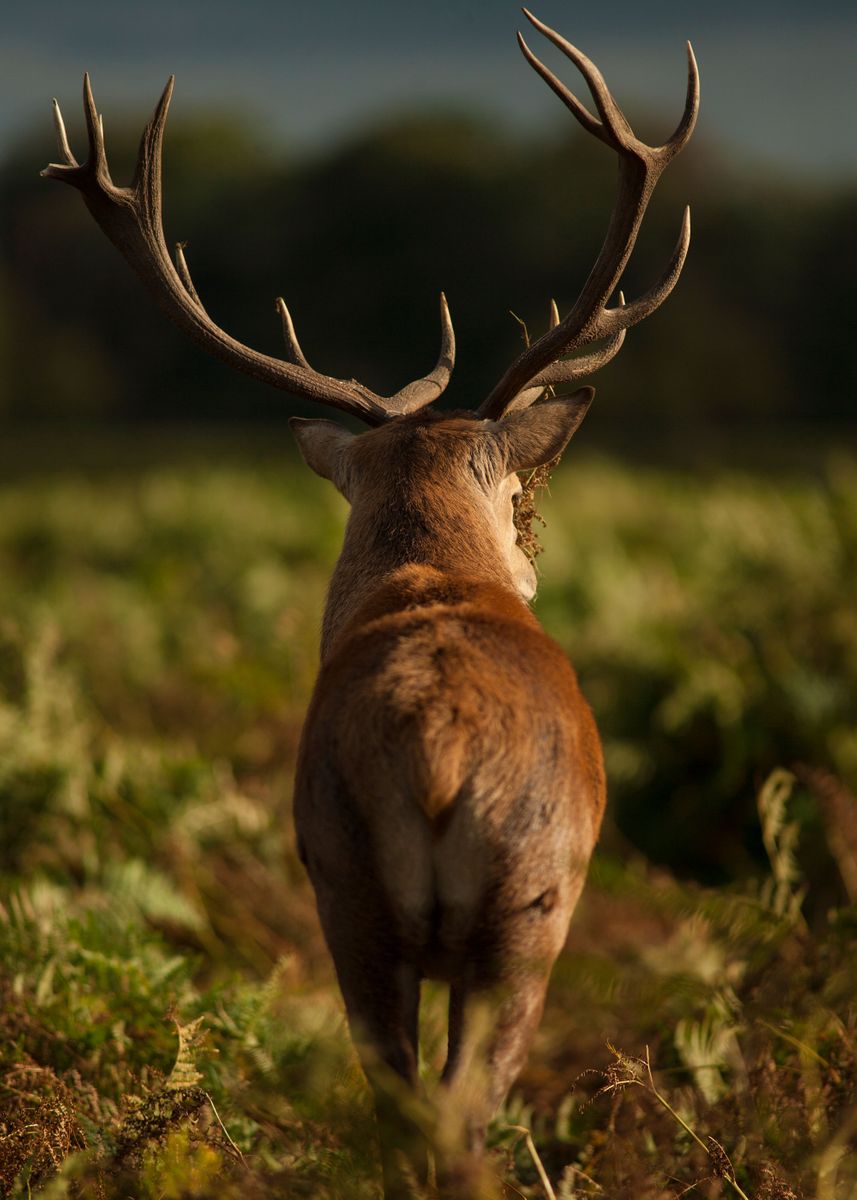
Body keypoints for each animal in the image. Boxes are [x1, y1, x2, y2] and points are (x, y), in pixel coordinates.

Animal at [44, 11, 698, 1197]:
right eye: (517, 493)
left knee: (400, 1101)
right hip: (518, 905)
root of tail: (437, 751)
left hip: (346, 888)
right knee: (457, 1117)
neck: (429, 577)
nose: (533, 559)